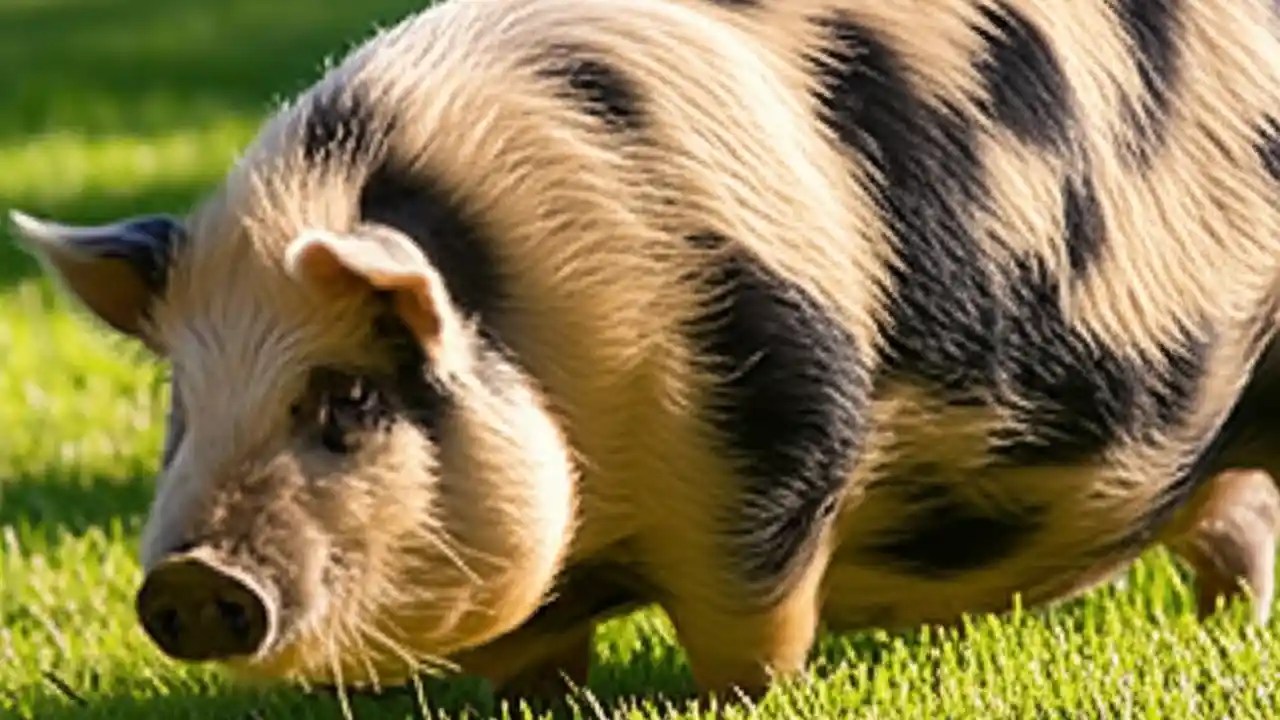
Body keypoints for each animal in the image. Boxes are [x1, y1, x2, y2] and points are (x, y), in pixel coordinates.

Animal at [11, 0, 1280, 703]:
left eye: (350, 401)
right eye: (183, 409)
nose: (189, 579)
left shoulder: (778, 423)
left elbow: (751, 624)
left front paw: (733, 701)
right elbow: (536, 652)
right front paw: (537, 704)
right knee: (1234, 521)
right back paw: (1220, 626)